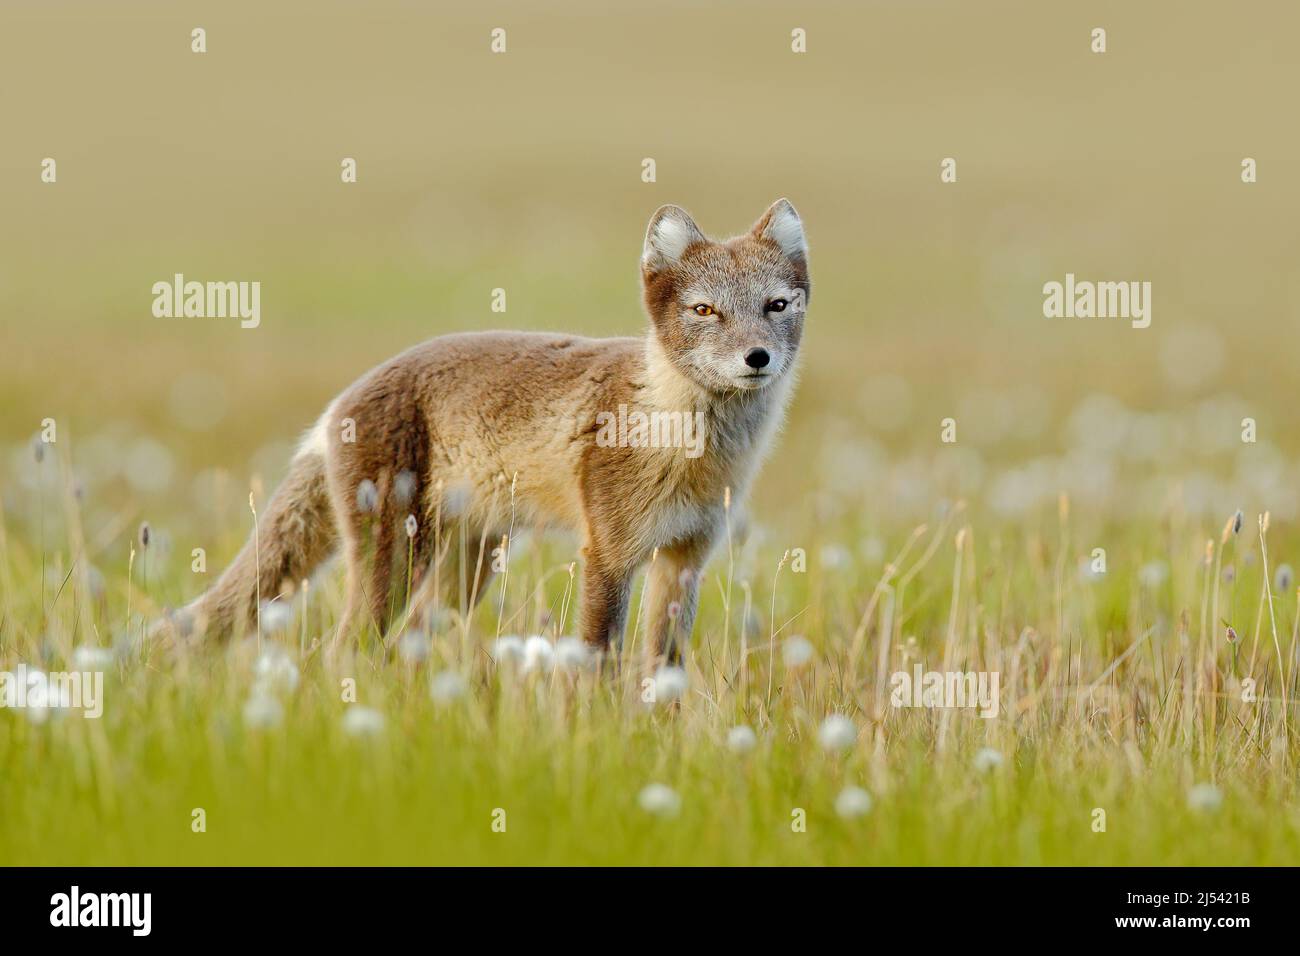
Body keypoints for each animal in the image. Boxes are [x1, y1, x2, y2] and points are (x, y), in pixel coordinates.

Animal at [174, 199, 810, 663]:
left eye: (776, 306)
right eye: (705, 311)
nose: (757, 358)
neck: (684, 443)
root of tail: (343, 399)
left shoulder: (683, 561)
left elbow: (663, 676)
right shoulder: (608, 555)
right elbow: (596, 667)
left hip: (465, 568)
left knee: (405, 646)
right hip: (398, 560)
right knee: (342, 651)